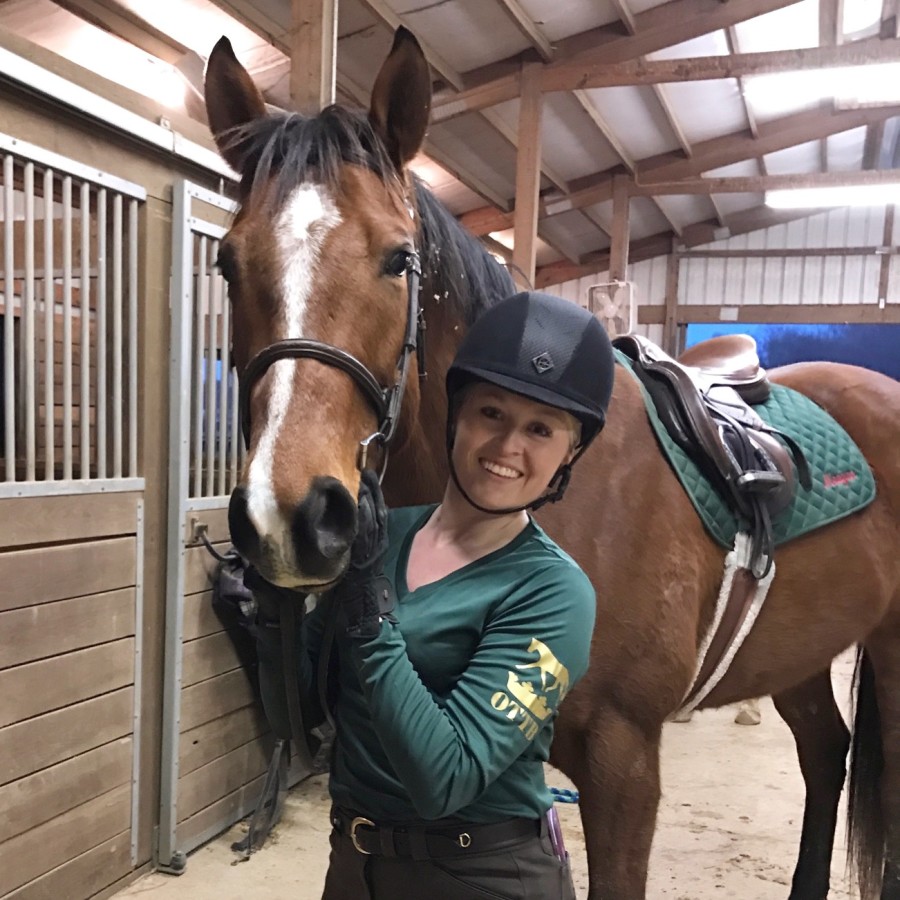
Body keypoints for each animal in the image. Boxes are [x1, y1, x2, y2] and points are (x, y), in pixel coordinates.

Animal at [203, 28, 900, 900]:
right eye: (227, 263)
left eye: (398, 259)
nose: (288, 516)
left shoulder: (624, 763)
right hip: (800, 654)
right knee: (825, 752)